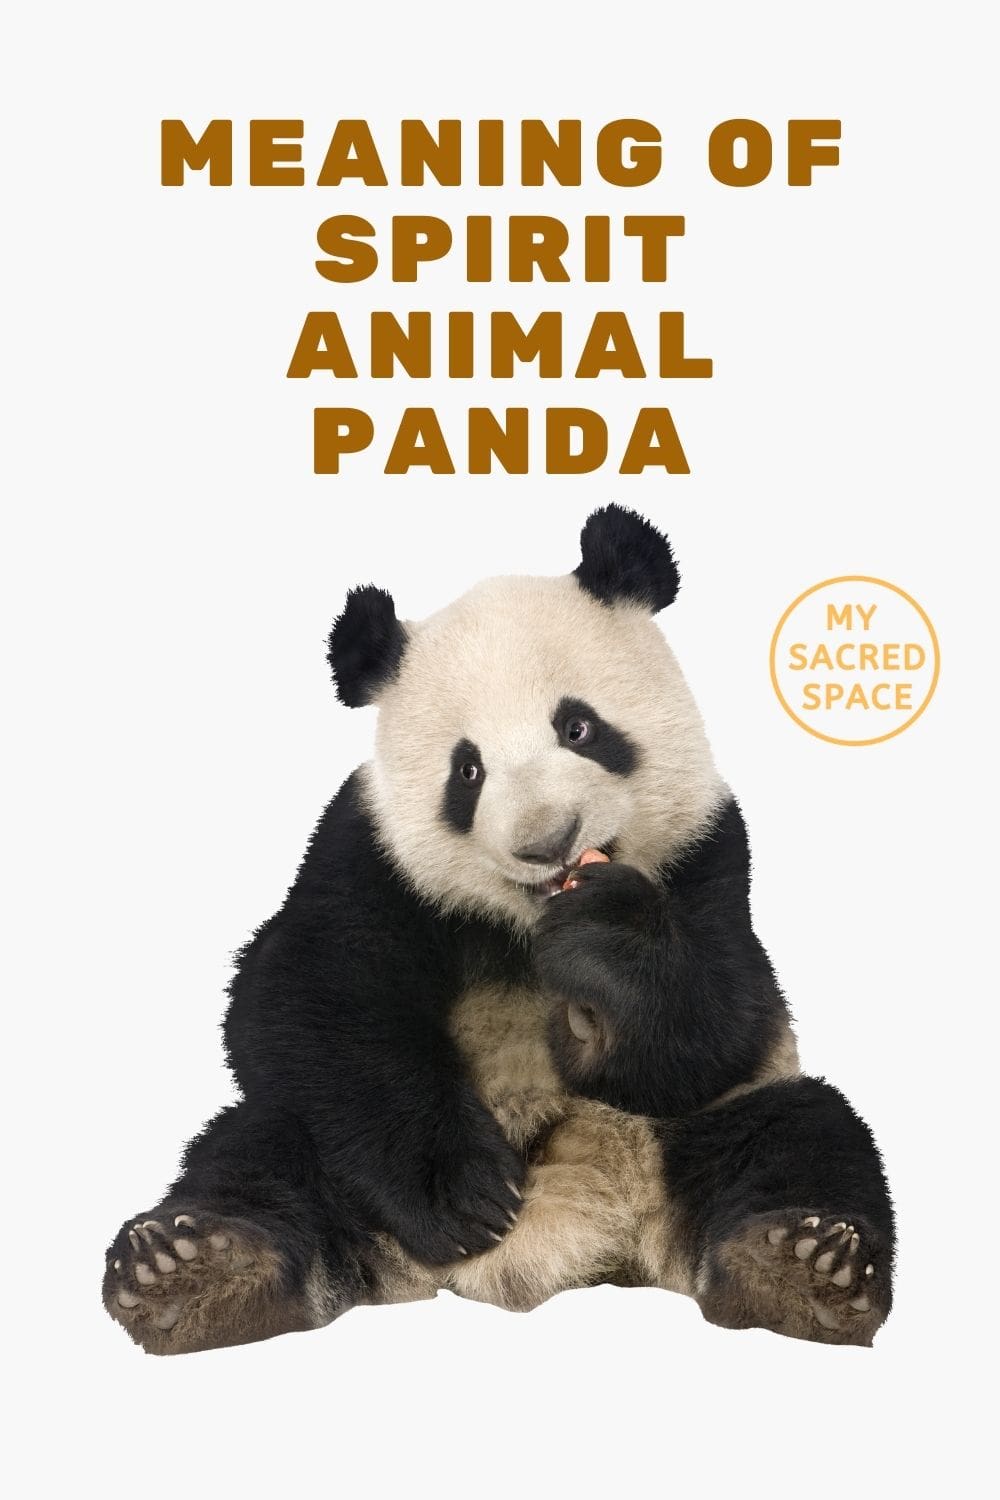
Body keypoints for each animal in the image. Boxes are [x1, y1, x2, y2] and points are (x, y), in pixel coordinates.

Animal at [103, 505, 894, 1353]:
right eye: (468, 771)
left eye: (578, 728)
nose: (548, 841)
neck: (524, 922)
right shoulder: (365, 855)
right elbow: (304, 994)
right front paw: (459, 1196)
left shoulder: (711, 851)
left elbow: (725, 1022)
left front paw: (607, 949)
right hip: (322, 1152)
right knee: (258, 1148)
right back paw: (199, 1269)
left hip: (691, 1136)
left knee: (799, 1130)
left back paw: (799, 1266)